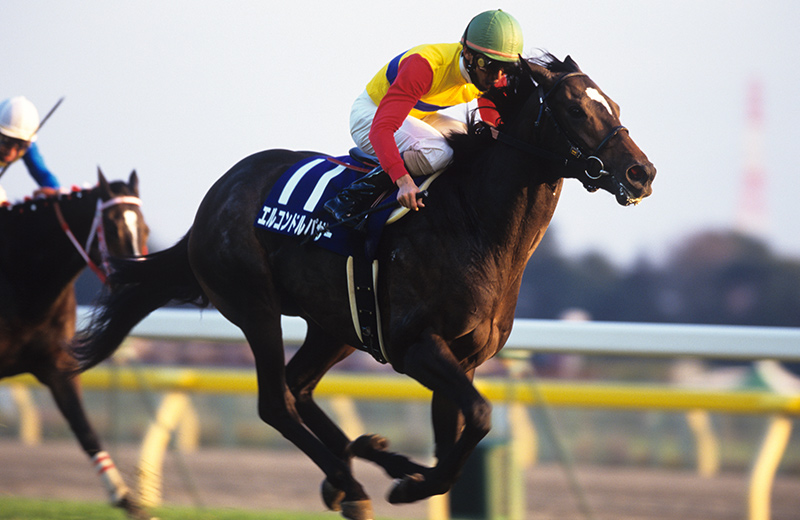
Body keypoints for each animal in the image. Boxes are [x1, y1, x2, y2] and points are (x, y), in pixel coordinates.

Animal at [0, 170, 150, 519]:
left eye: (145, 228)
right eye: (112, 226)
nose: (137, 285)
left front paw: (128, 499)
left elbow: (85, 429)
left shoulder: (56, 366)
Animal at [74, 54, 656, 520]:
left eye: (613, 104)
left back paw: (365, 460)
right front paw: (410, 486)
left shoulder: (462, 359)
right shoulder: (415, 345)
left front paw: (413, 478)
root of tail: (212, 201)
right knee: (276, 401)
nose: (641, 173)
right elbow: (480, 416)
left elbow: (458, 429)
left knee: (299, 386)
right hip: (255, 305)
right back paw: (352, 482)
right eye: (577, 110)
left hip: (335, 325)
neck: (475, 228)